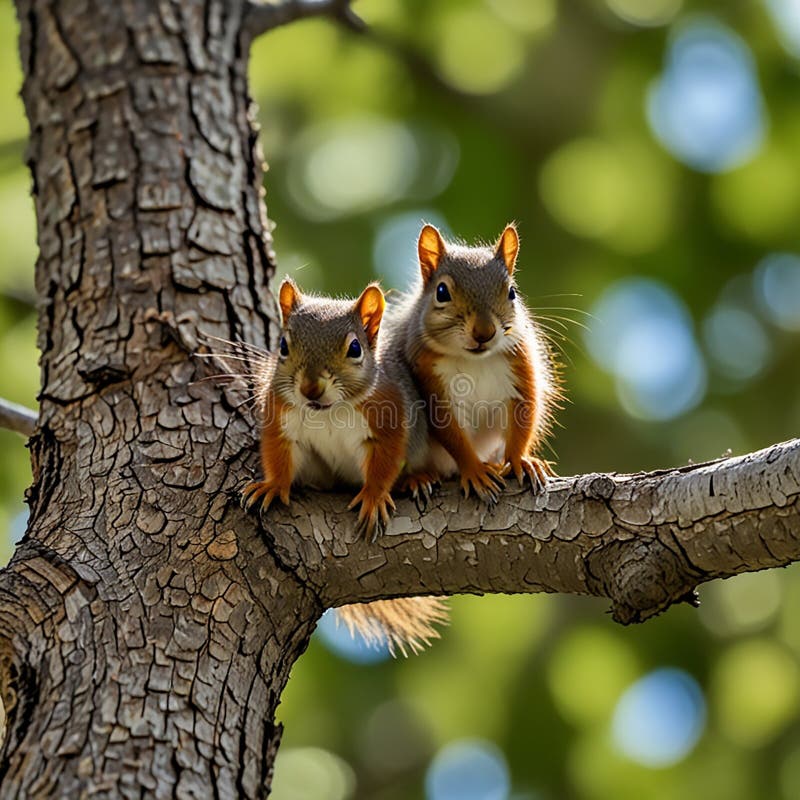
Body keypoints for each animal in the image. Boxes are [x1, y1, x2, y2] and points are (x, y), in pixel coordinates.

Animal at [242, 278, 446, 654]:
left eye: (355, 348)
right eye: (283, 345)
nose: (310, 388)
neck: (328, 411)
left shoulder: (389, 421)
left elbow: (384, 463)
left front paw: (374, 497)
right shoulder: (280, 417)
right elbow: (278, 455)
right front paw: (273, 487)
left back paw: (416, 479)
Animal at [385, 222, 558, 502]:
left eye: (512, 292)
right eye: (441, 292)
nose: (484, 332)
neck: (475, 361)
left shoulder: (519, 365)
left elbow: (524, 415)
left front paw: (521, 461)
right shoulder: (432, 379)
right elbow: (452, 434)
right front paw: (475, 471)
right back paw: (416, 479)